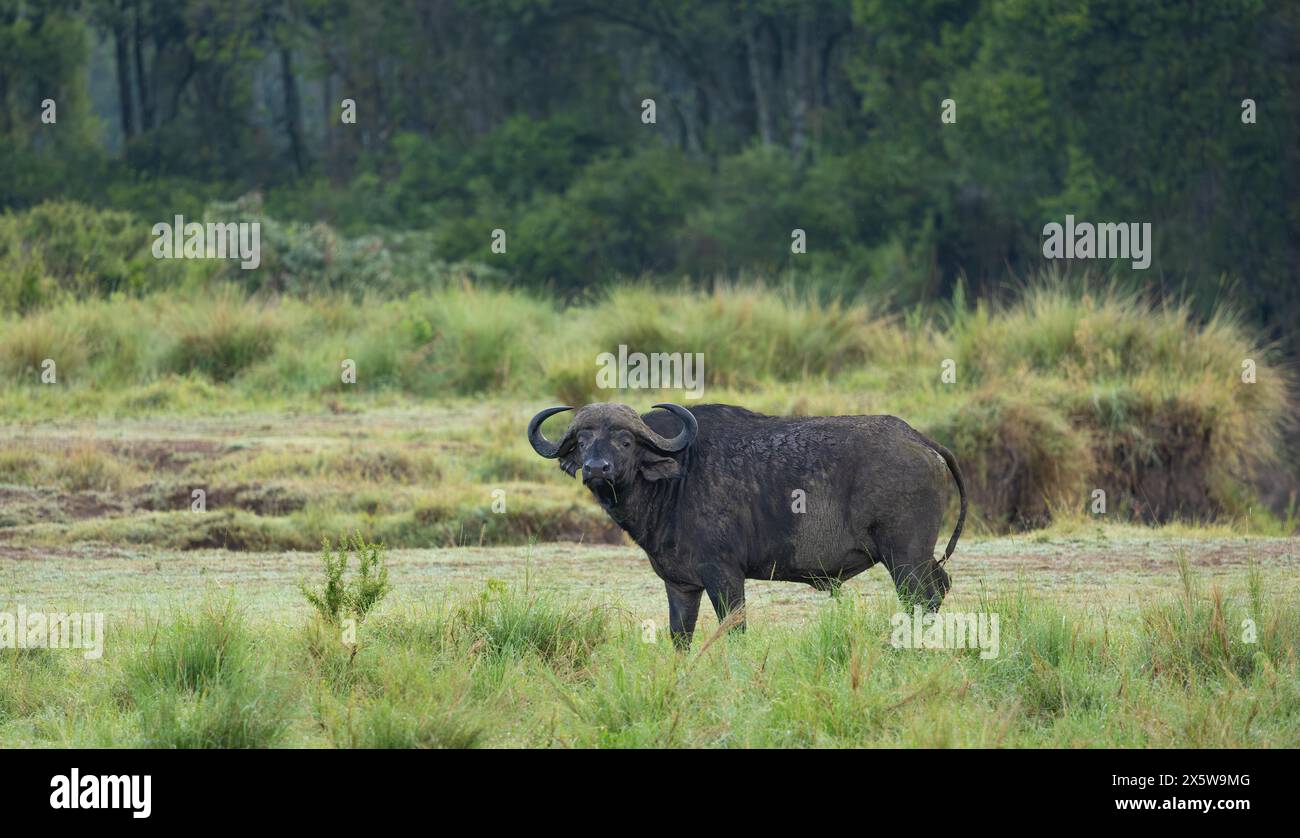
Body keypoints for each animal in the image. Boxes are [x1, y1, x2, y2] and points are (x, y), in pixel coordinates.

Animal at [527, 402, 967, 648]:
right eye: (584, 440)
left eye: (625, 441)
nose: (595, 469)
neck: (679, 477)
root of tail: (918, 439)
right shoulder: (680, 584)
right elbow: (680, 637)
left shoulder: (725, 575)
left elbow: (734, 629)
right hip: (920, 557)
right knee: (939, 589)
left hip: (904, 556)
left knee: (922, 598)